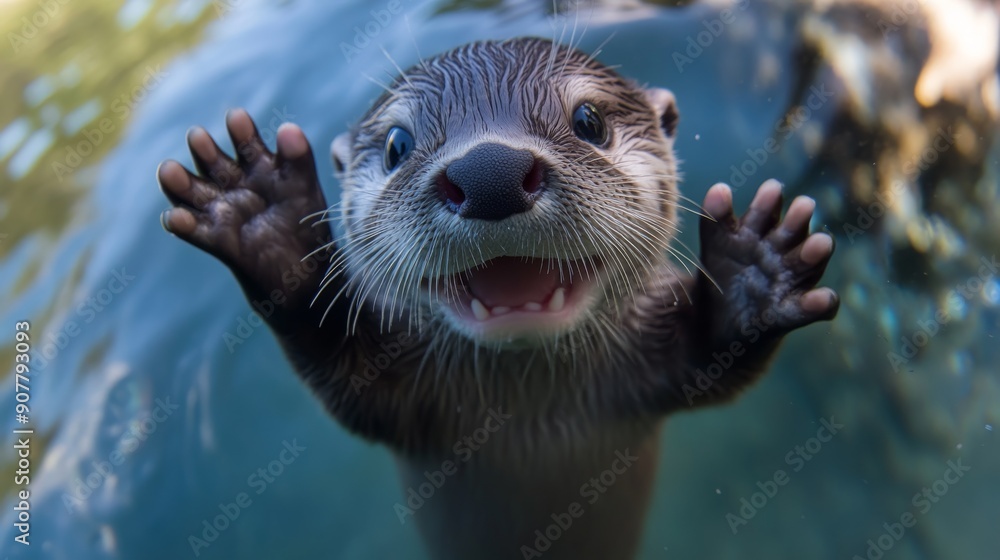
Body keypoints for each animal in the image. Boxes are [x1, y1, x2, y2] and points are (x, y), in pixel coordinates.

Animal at [156, 38, 837, 560]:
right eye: (398, 144)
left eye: (588, 122)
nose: (490, 172)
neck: (531, 410)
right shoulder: (403, 401)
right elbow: (337, 365)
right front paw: (265, 220)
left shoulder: (652, 372)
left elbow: (715, 365)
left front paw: (757, 272)